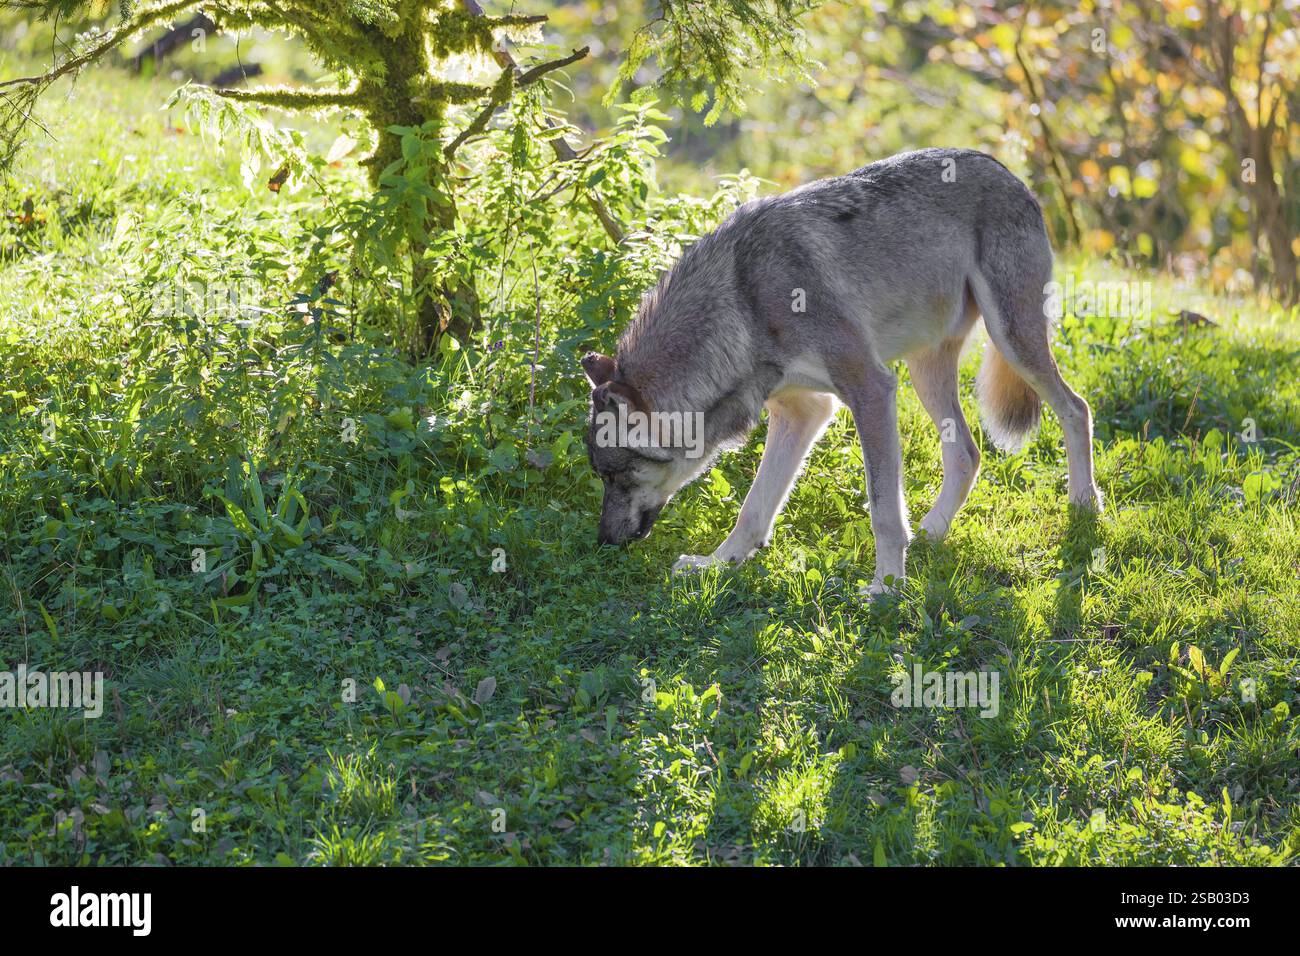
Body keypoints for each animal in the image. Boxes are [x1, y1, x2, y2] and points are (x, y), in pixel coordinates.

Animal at [582, 148, 1103, 595]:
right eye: (604, 477)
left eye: (618, 476)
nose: (603, 542)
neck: (745, 299)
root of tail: (1005, 168)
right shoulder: (803, 411)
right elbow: (753, 509)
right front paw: (716, 565)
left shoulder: (870, 389)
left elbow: (883, 510)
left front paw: (886, 587)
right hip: (925, 370)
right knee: (969, 454)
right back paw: (932, 533)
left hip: (1012, 341)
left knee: (1077, 408)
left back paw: (1084, 506)